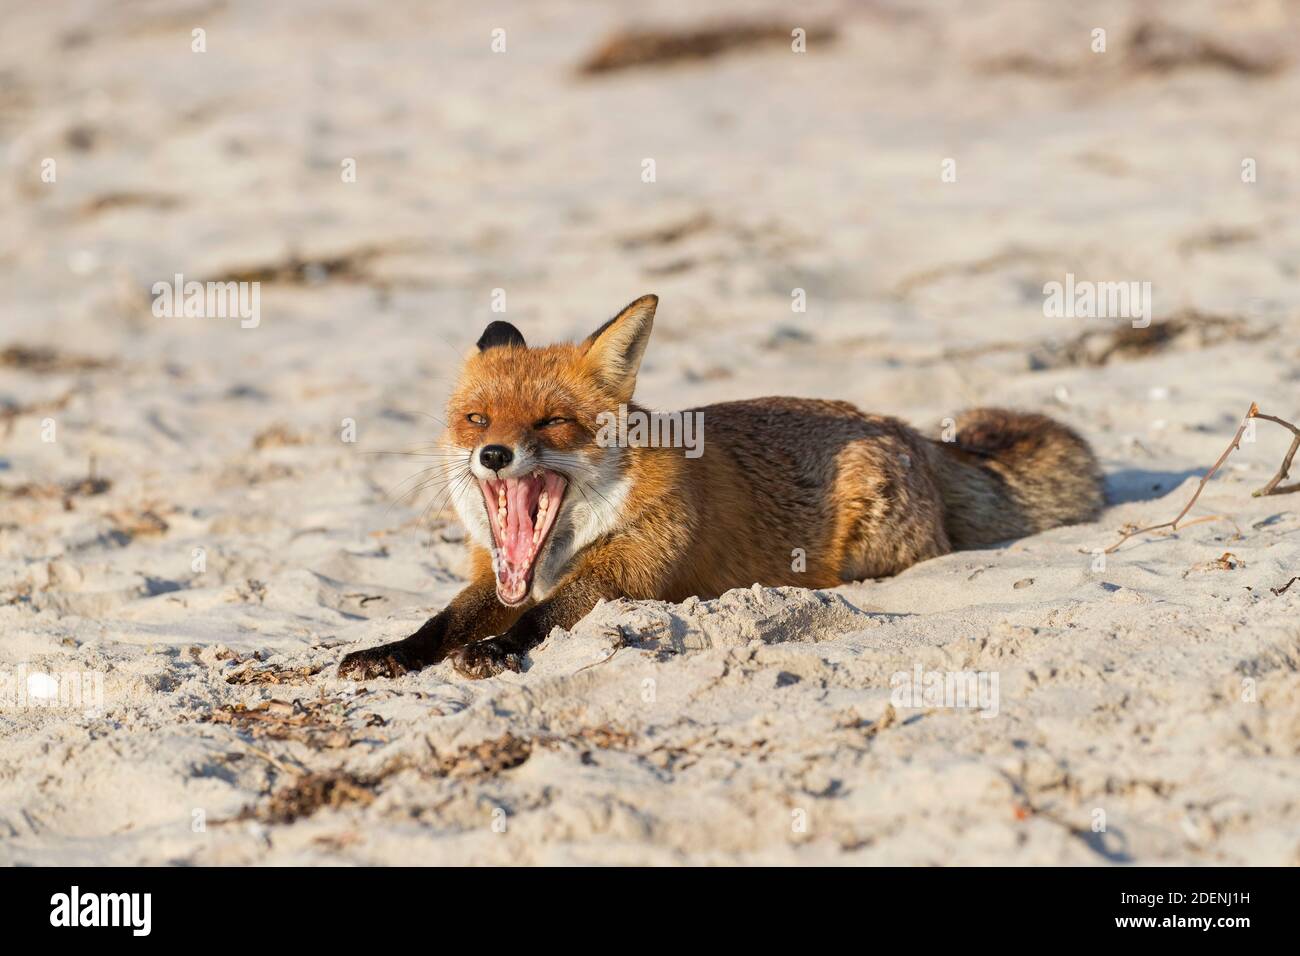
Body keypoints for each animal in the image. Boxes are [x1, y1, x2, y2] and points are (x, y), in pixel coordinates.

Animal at [339, 294, 1105, 681]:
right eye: (476, 419)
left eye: (553, 422)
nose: (494, 455)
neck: (564, 547)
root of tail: (902, 426)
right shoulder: (491, 572)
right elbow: (443, 622)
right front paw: (393, 651)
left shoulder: (627, 573)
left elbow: (539, 620)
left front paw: (497, 650)